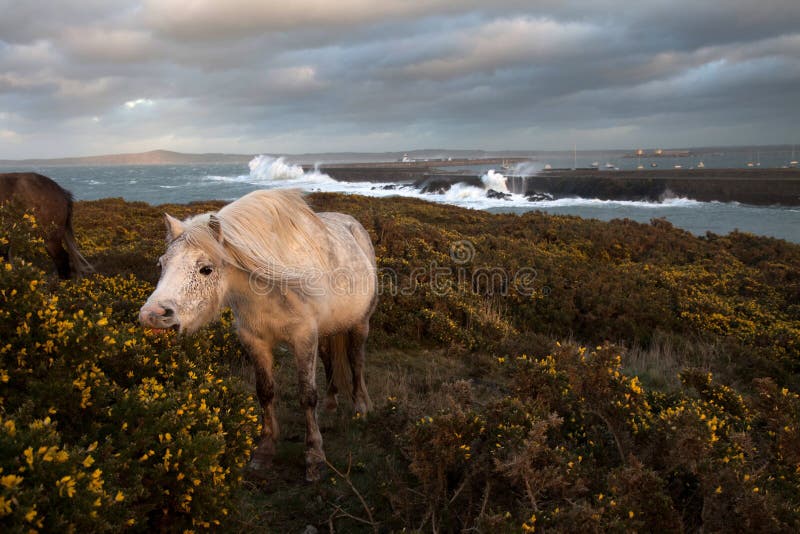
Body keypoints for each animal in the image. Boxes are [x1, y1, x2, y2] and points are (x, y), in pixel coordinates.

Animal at [139, 189, 377, 481]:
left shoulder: (303, 338)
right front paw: (264, 452)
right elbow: (265, 392)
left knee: (356, 360)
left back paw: (360, 406)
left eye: (206, 268)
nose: (152, 315)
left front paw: (314, 457)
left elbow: (307, 396)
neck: (269, 285)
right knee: (329, 359)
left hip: (360, 324)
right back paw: (331, 404)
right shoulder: (255, 340)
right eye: (161, 264)